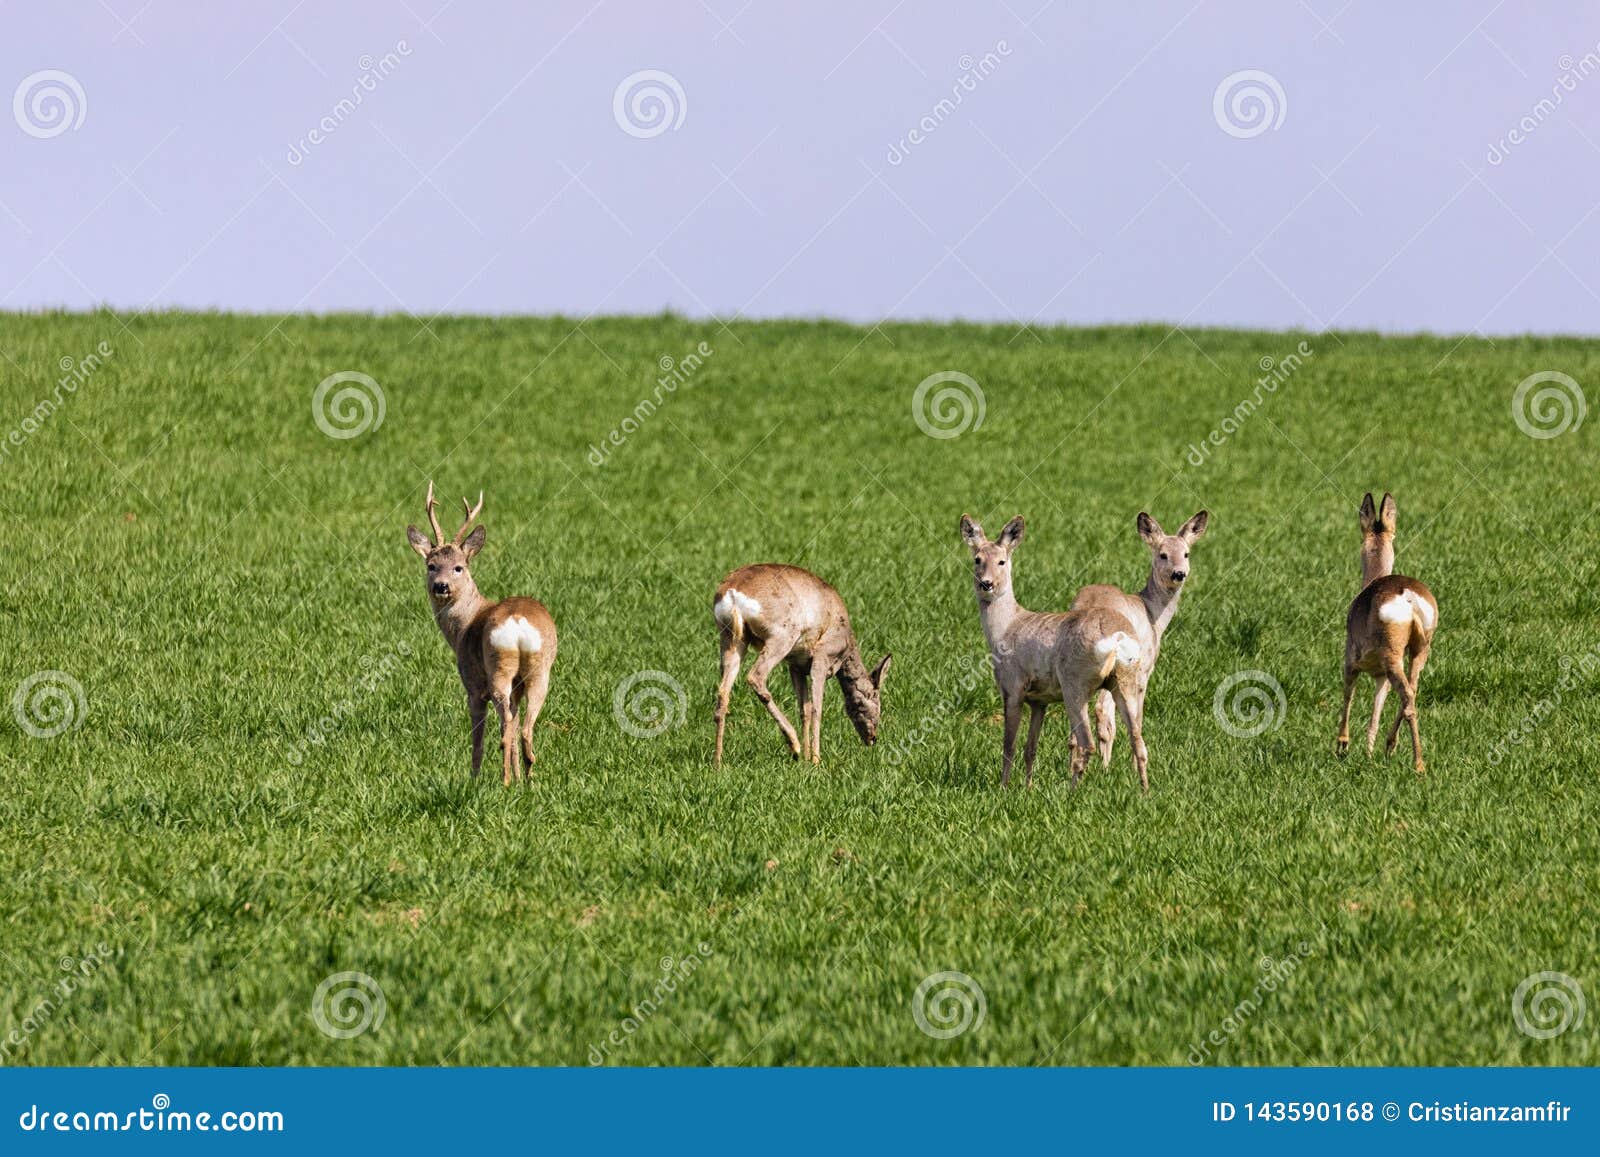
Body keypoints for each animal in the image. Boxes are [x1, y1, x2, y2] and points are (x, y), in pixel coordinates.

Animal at [406, 483, 558, 786]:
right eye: (431, 565)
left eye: (459, 567)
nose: (441, 586)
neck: (464, 626)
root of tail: (518, 623)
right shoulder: (516, 689)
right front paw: (517, 777)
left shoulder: (473, 685)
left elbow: (478, 739)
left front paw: (473, 779)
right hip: (539, 670)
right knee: (524, 727)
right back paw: (528, 779)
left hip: (498, 667)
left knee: (507, 728)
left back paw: (506, 781)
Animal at [711, 564, 890, 766]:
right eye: (875, 696)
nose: (873, 738)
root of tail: (732, 591)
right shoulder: (821, 659)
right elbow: (816, 709)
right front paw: (815, 760)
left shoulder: (796, 666)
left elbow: (804, 709)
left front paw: (806, 759)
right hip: (780, 638)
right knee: (755, 676)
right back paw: (793, 744)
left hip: (732, 641)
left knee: (723, 691)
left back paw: (717, 763)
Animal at [959, 510, 1208, 792]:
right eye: (977, 559)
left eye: (1002, 561)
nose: (986, 584)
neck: (1007, 625)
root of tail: (1116, 636)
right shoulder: (1039, 700)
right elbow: (1030, 748)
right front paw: (1028, 788)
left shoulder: (1012, 686)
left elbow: (1008, 745)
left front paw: (1004, 788)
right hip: (1123, 678)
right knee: (1136, 737)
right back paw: (1143, 790)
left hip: (1075, 683)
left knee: (1088, 740)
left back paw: (1072, 791)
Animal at [1336, 492, 1437, 772]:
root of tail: (1408, 595)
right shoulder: (1380, 676)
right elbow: (1375, 711)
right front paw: (1368, 753)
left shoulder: (1350, 663)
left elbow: (1348, 695)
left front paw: (1342, 746)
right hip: (1418, 652)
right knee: (1411, 692)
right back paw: (1390, 746)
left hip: (1393, 657)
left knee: (1407, 696)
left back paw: (1418, 764)